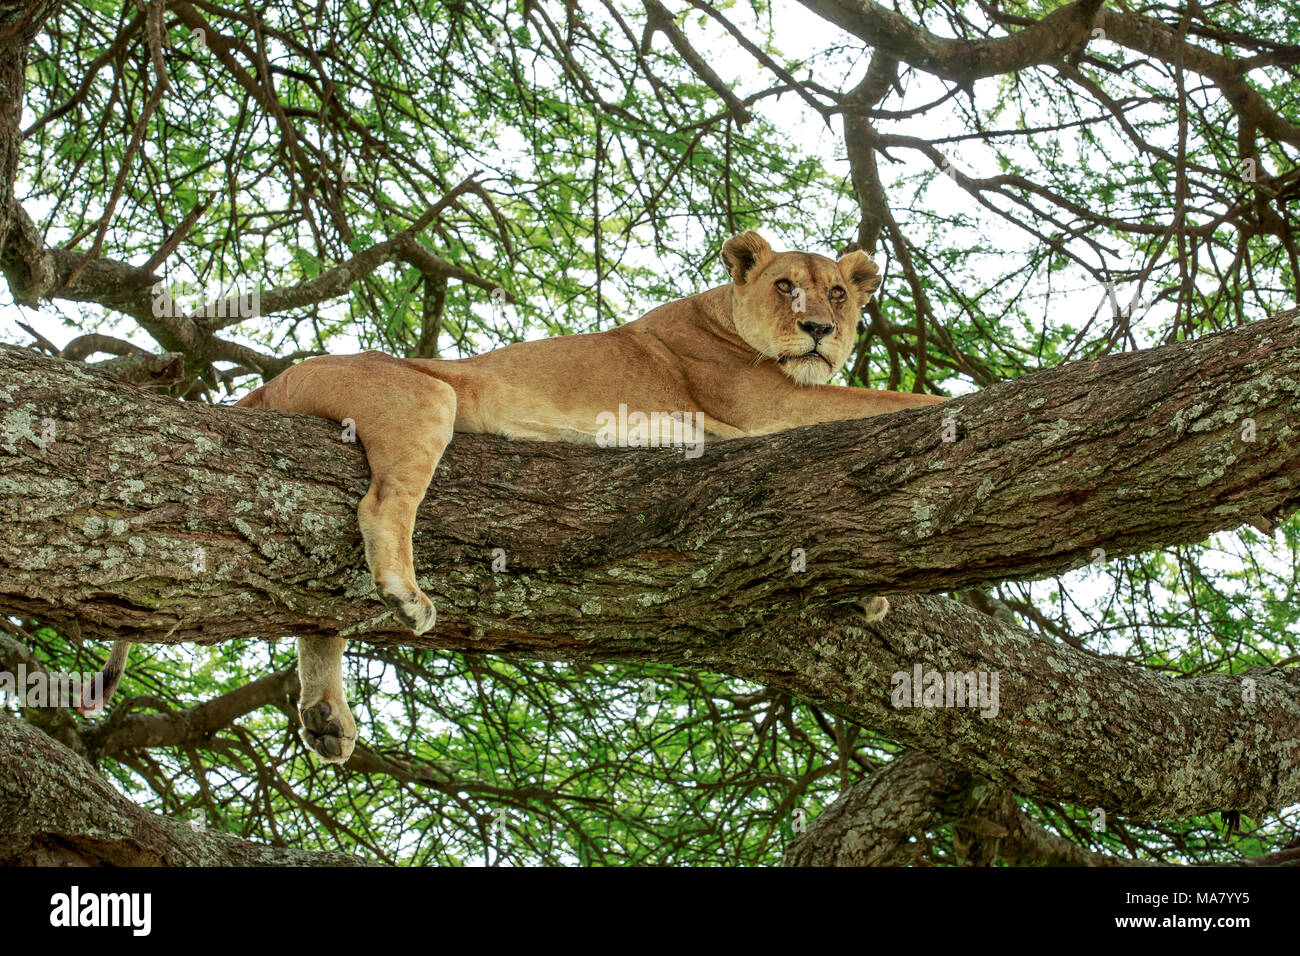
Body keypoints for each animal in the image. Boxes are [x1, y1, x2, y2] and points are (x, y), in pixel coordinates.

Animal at [86, 231, 945, 762]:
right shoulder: (765, 408)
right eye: (786, 286)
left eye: (839, 293)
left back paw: (327, 717)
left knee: (319, 604)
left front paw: (870, 598)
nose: (818, 329)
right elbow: (894, 401)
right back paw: (404, 595)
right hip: (424, 396)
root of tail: (277, 377)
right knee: (378, 508)